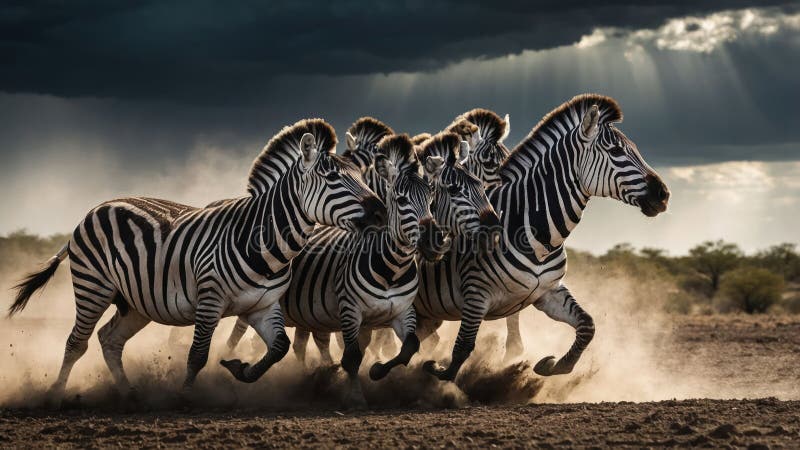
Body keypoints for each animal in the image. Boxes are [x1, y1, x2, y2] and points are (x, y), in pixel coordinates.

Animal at [7, 118, 386, 398]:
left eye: (362, 176)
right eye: (333, 178)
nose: (381, 212)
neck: (264, 242)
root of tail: (98, 206)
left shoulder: (263, 306)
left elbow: (278, 347)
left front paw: (241, 370)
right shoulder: (210, 300)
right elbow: (198, 354)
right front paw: (186, 397)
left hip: (135, 302)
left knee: (109, 340)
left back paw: (128, 394)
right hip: (93, 287)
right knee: (76, 343)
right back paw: (56, 395)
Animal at [220, 133, 445, 406]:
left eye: (432, 200)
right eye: (401, 201)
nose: (434, 241)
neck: (393, 269)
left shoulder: (402, 312)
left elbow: (410, 347)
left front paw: (377, 370)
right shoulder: (350, 310)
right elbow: (353, 357)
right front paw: (356, 397)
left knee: (302, 345)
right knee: (238, 335)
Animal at [415, 94, 670, 381]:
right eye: (616, 151)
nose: (663, 194)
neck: (539, 237)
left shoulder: (548, 293)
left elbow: (587, 325)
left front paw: (553, 365)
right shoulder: (475, 293)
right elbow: (460, 351)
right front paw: (433, 368)